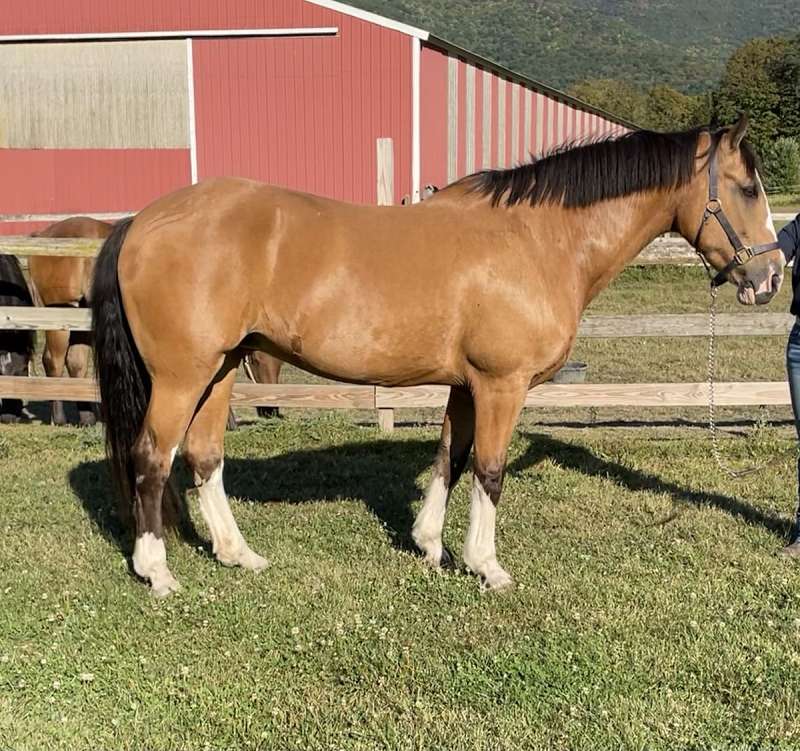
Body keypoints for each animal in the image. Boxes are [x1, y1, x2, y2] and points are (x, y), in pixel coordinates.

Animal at [29, 217, 111, 426]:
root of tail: (44, 234)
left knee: (76, 362)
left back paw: (88, 417)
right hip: (60, 314)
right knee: (54, 361)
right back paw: (59, 418)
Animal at [90, 117, 783, 596]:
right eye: (748, 188)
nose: (772, 276)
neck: (539, 239)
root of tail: (140, 221)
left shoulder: (466, 384)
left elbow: (450, 455)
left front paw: (430, 545)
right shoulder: (502, 385)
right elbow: (489, 469)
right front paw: (487, 566)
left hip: (222, 370)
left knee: (204, 456)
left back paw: (238, 554)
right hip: (182, 377)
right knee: (151, 457)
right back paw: (157, 572)